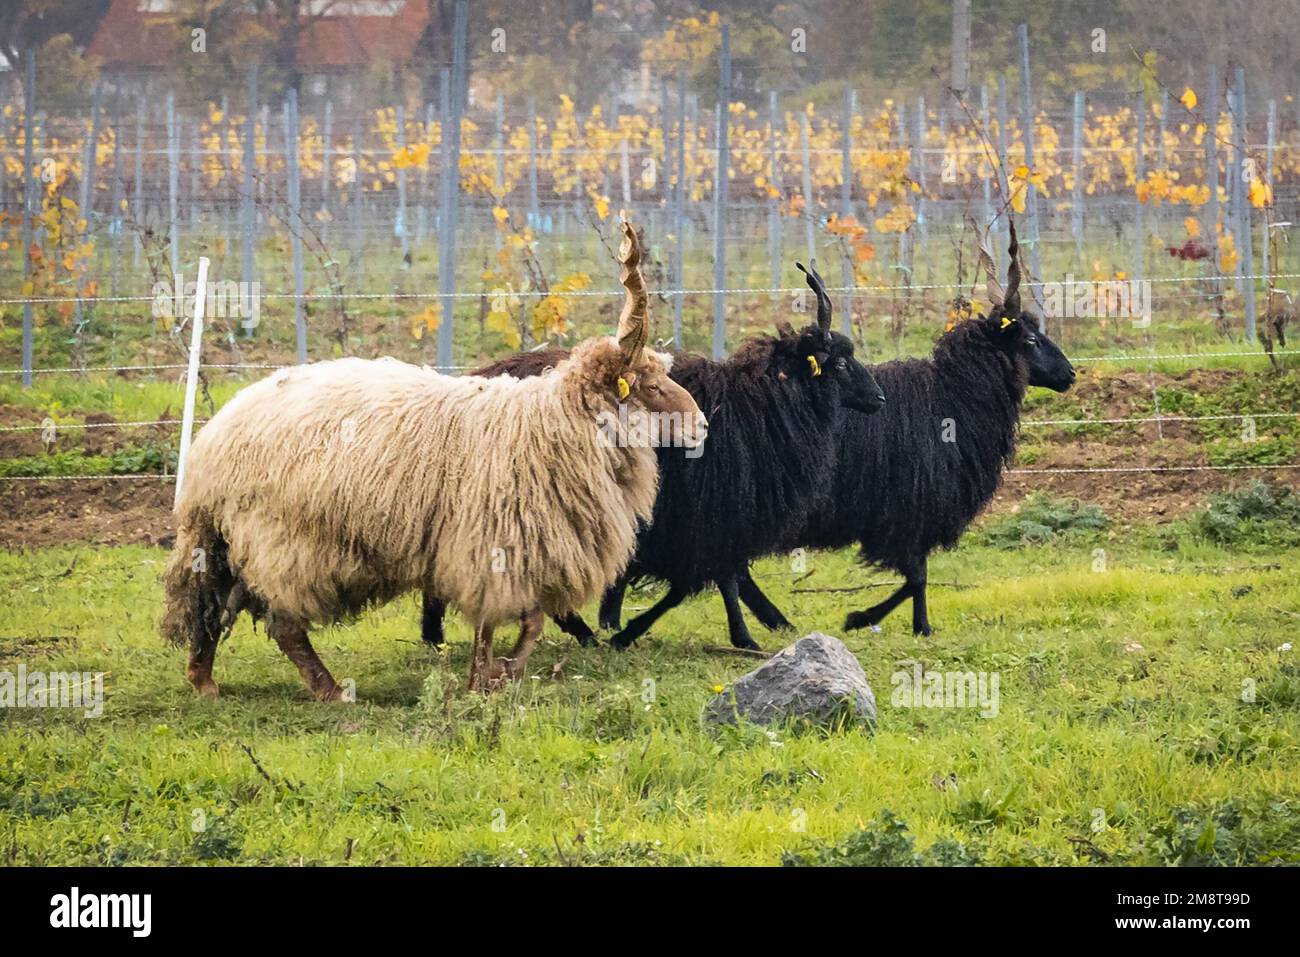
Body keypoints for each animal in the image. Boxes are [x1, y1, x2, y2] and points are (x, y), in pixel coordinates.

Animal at [161, 219, 707, 698]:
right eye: (650, 385)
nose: (702, 424)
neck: (549, 423)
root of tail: (212, 442)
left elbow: (527, 622)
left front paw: (496, 676)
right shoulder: (492, 543)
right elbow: (509, 623)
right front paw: (488, 680)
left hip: (236, 542)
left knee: (216, 606)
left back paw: (202, 679)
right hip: (285, 541)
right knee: (283, 625)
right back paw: (331, 691)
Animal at [423, 261, 886, 651]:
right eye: (840, 364)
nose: (880, 398)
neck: (760, 403)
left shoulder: (709, 521)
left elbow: (718, 577)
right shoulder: (707, 517)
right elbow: (713, 581)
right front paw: (740, 636)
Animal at [738, 221, 1076, 636]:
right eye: (1029, 339)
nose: (1070, 374)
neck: (953, 395)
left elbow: (917, 577)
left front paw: (913, 625)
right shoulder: (908, 510)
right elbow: (917, 577)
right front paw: (875, 620)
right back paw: (774, 621)